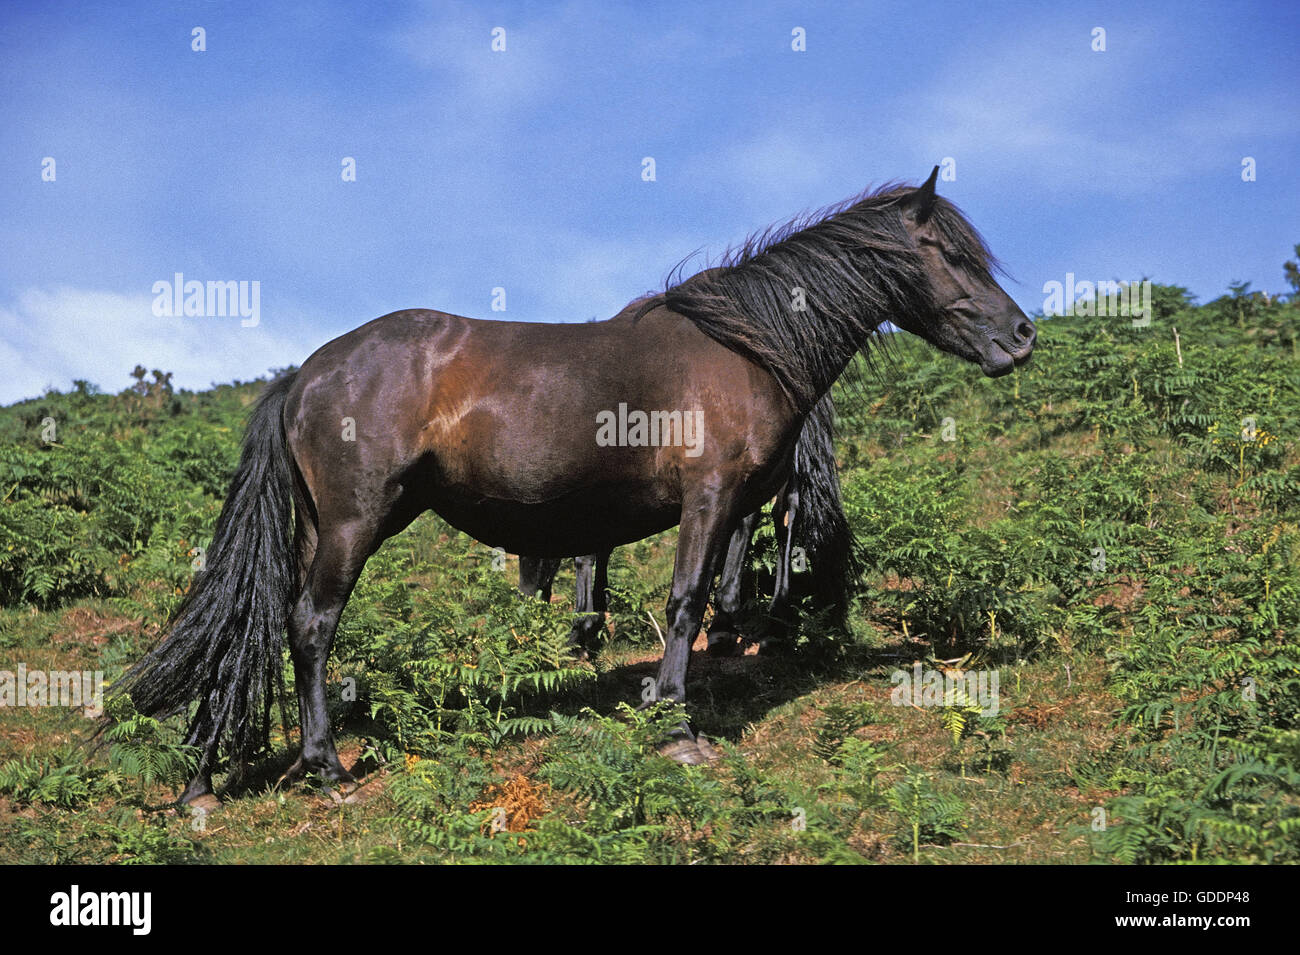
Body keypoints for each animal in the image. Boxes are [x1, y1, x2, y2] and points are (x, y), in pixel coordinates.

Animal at [517, 392, 854, 657]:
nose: (526, 598)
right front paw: (595, 621)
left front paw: (582, 630)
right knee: (779, 507)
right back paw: (751, 625)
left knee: (772, 509)